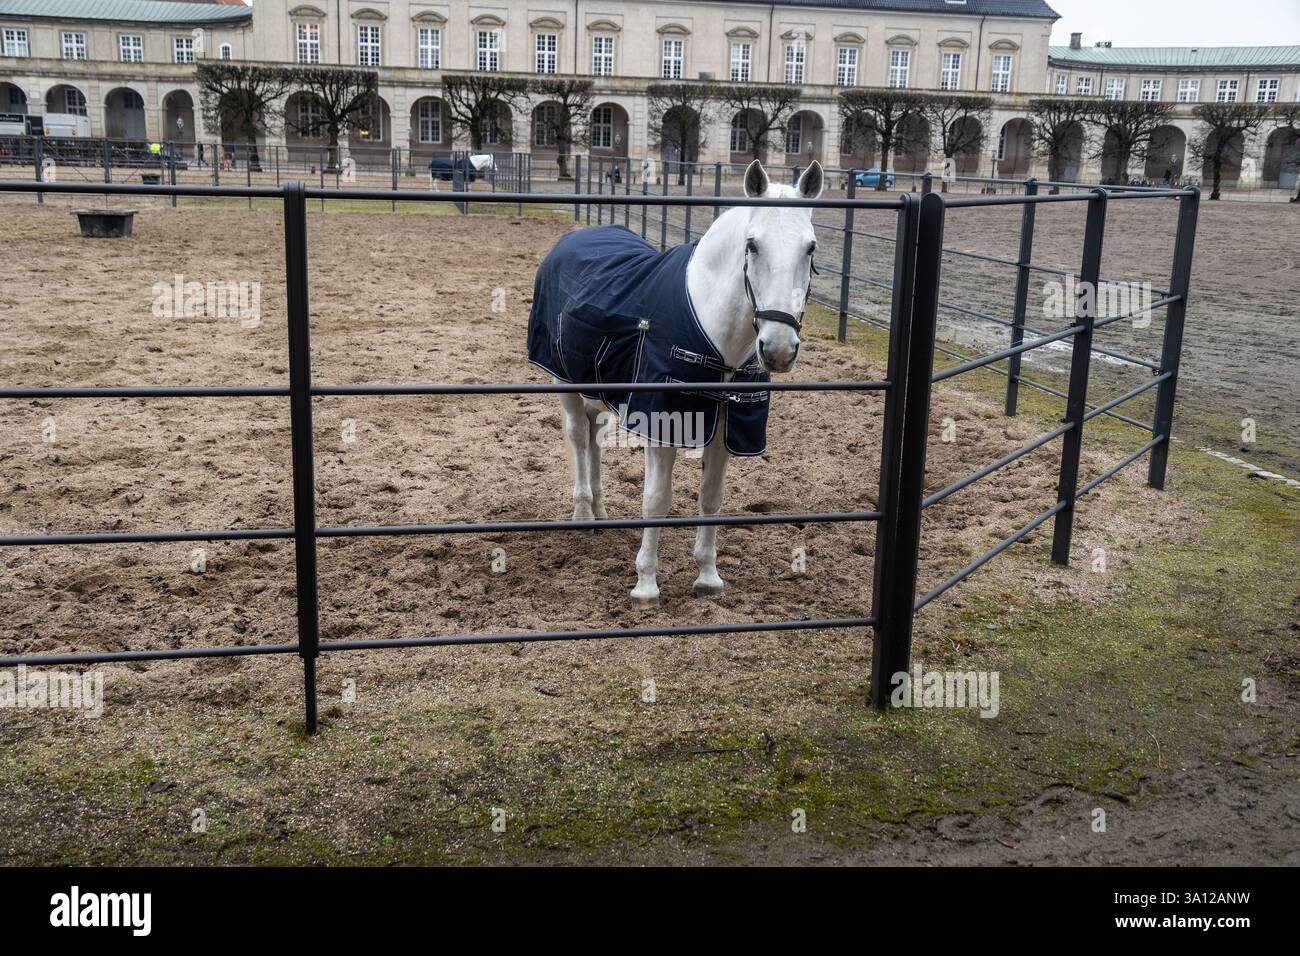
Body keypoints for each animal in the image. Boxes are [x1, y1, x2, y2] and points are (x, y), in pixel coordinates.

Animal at [527, 159, 824, 604]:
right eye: (752, 244)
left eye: (810, 248)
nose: (778, 349)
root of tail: (574, 238)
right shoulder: (661, 425)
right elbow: (656, 500)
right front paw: (646, 585)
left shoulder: (725, 428)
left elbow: (711, 497)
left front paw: (708, 576)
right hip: (567, 386)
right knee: (578, 438)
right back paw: (582, 515)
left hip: (600, 392)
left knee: (594, 438)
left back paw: (600, 511)